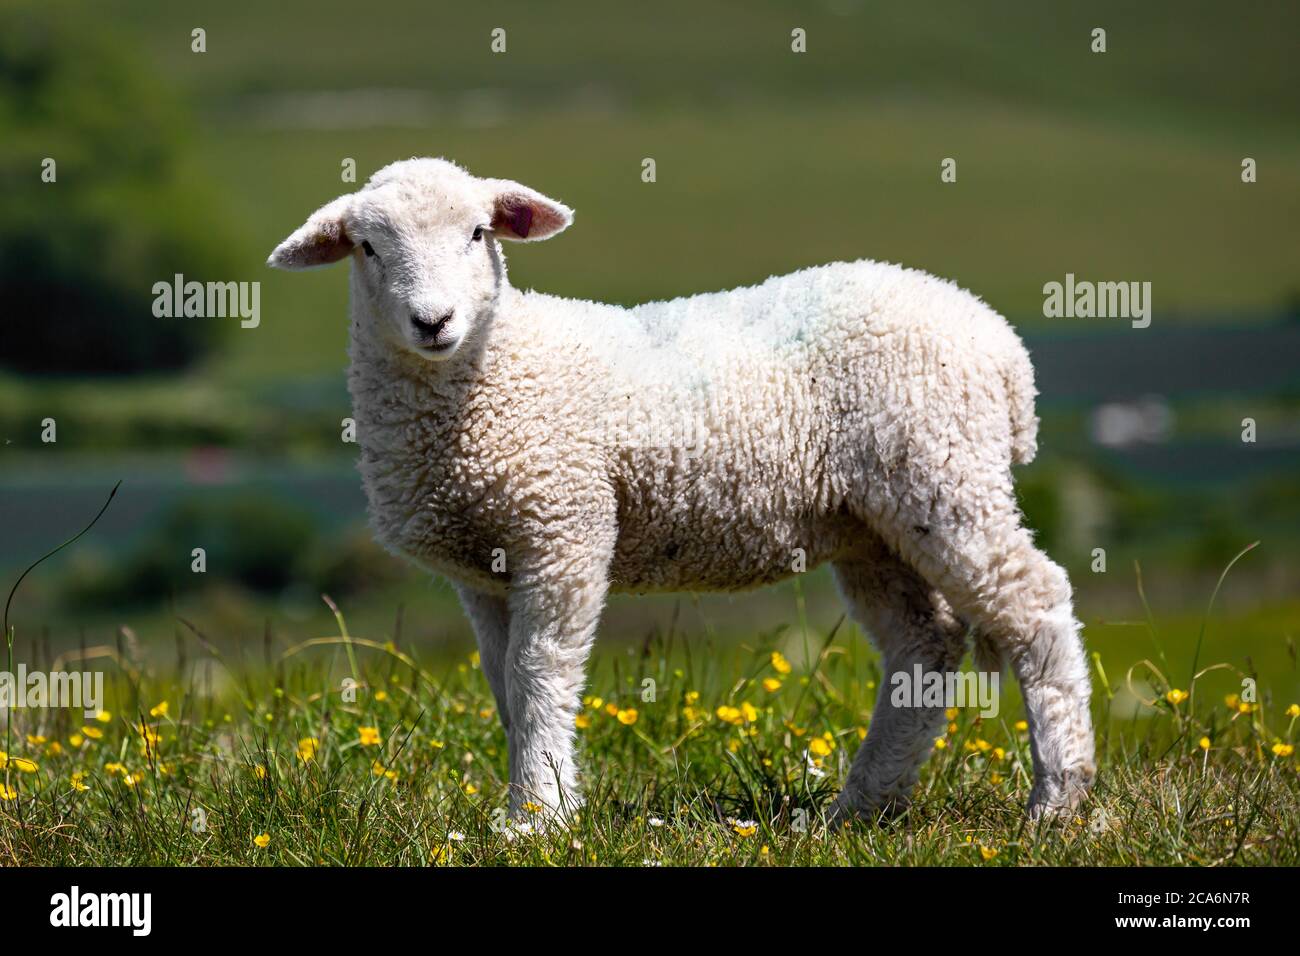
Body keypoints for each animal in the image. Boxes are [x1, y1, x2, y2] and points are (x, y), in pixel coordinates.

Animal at [269, 157, 1095, 824]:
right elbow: (505, 690)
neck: (492, 370)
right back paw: (861, 807)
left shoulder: (564, 528)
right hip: (874, 519)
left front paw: (540, 817)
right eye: (368, 247)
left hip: (943, 472)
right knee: (924, 641)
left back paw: (1060, 803)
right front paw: (529, 802)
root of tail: (1002, 347)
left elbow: (540, 675)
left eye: (478, 233)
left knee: (1034, 604)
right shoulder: (485, 570)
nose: (432, 320)